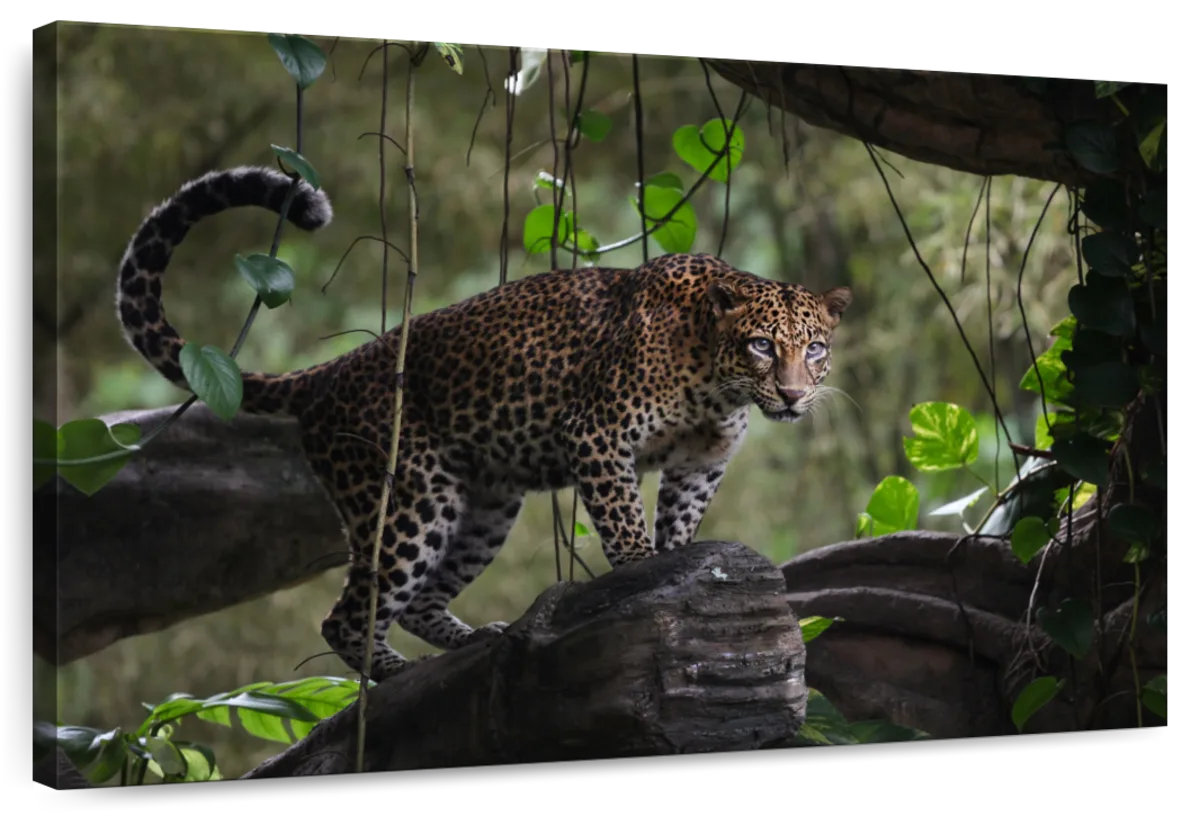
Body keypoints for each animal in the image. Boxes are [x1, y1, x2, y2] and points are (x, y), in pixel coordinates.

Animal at [116, 166, 851, 681]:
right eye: (761, 346)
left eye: (815, 349)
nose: (792, 395)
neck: (715, 382)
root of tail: (328, 374)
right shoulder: (597, 434)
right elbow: (625, 527)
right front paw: (643, 579)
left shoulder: (700, 463)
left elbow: (679, 525)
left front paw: (681, 573)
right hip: (407, 496)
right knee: (346, 616)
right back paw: (395, 674)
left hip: (484, 506)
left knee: (415, 601)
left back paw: (476, 640)